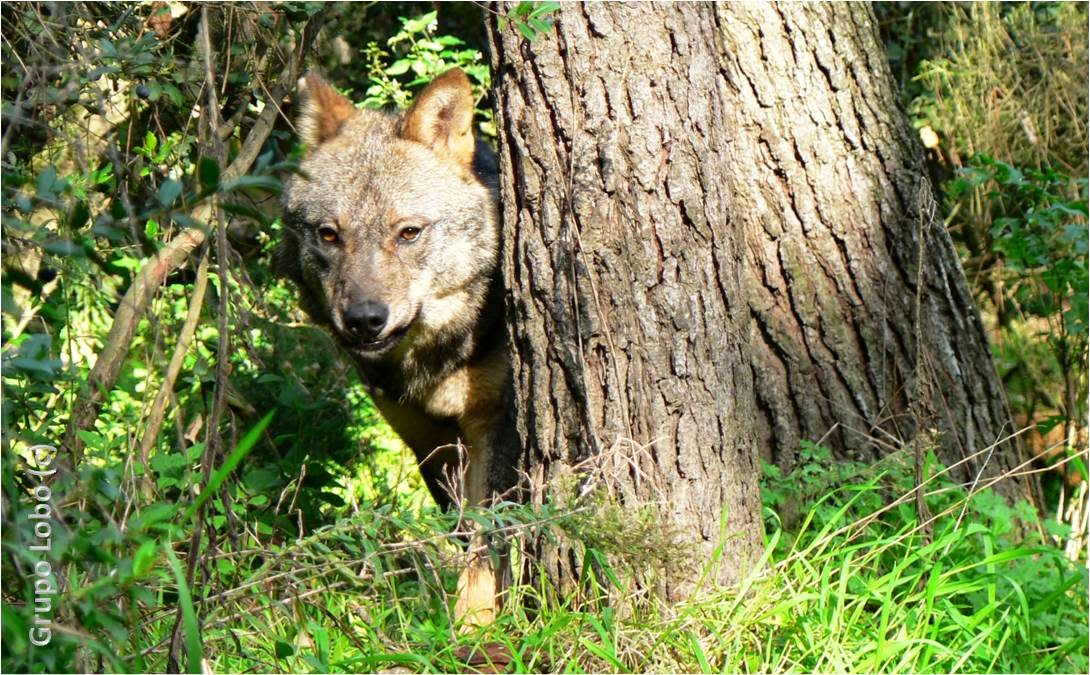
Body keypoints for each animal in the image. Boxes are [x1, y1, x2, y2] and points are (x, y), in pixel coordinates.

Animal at [276, 69, 516, 623]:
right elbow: (462, 527)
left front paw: (476, 622)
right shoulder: (425, 439)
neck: (433, 365)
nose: (365, 320)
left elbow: (485, 535)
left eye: (408, 233)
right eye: (329, 235)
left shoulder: (494, 423)